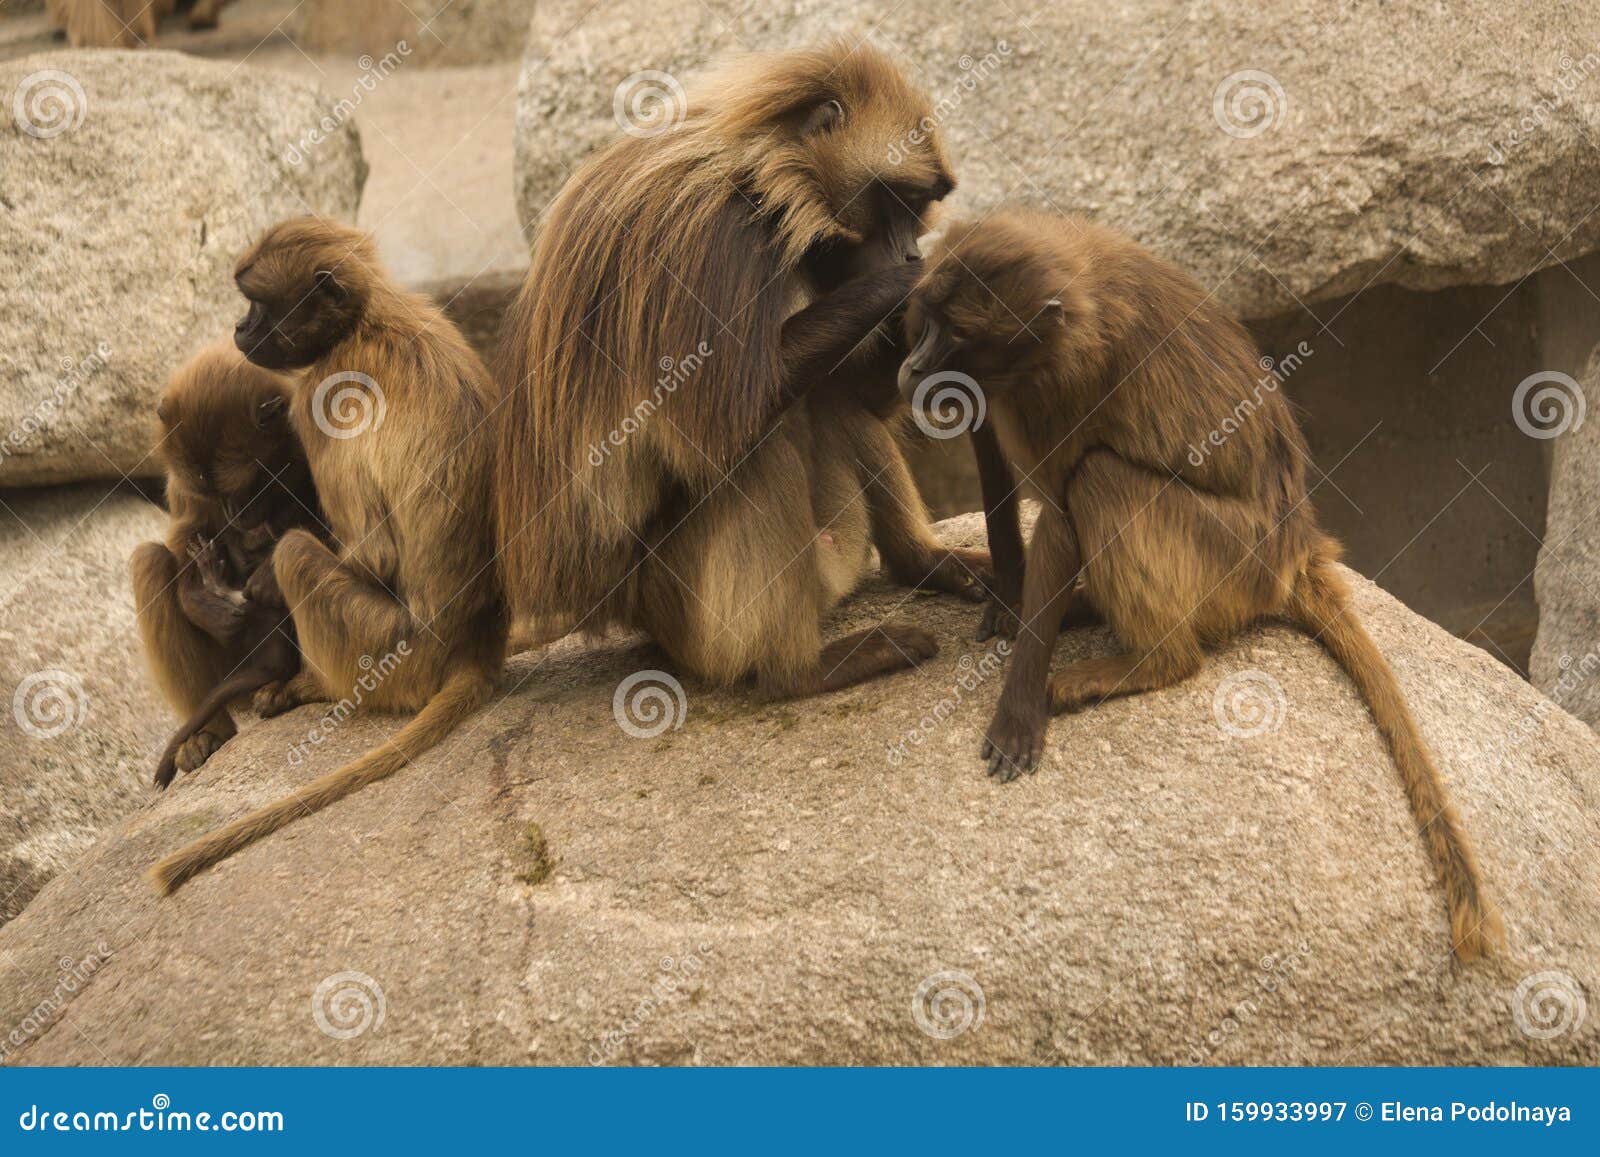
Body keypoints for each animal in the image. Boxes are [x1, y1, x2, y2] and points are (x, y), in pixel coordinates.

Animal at [131, 341, 325, 784]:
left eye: (248, 485)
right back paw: (211, 732)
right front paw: (198, 599)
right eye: (214, 493)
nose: (235, 513)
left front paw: (267, 571)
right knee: (151, 561)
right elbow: (184, 532)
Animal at [494, 38, 988, 704]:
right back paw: (804, 670)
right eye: (898, 202)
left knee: (831, 397)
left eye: (920, 208)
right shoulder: (711, 236)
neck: (768, 183)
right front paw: (914, 280)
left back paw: (928, 565)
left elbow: (859, 393)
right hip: (689, 610)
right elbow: (718, 418)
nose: (910, 249)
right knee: (758, 441)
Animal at [897, 210, 1503, 961]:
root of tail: (1294, 548)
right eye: (926, 322)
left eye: (954, 333)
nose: (912, 368)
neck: (1074, 299)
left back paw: (1149, 661)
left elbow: (1064, 516)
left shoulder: (1068, 382)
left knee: (1101, 479)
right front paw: (1011, 601)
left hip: (1227, 559)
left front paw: (1018, 703)